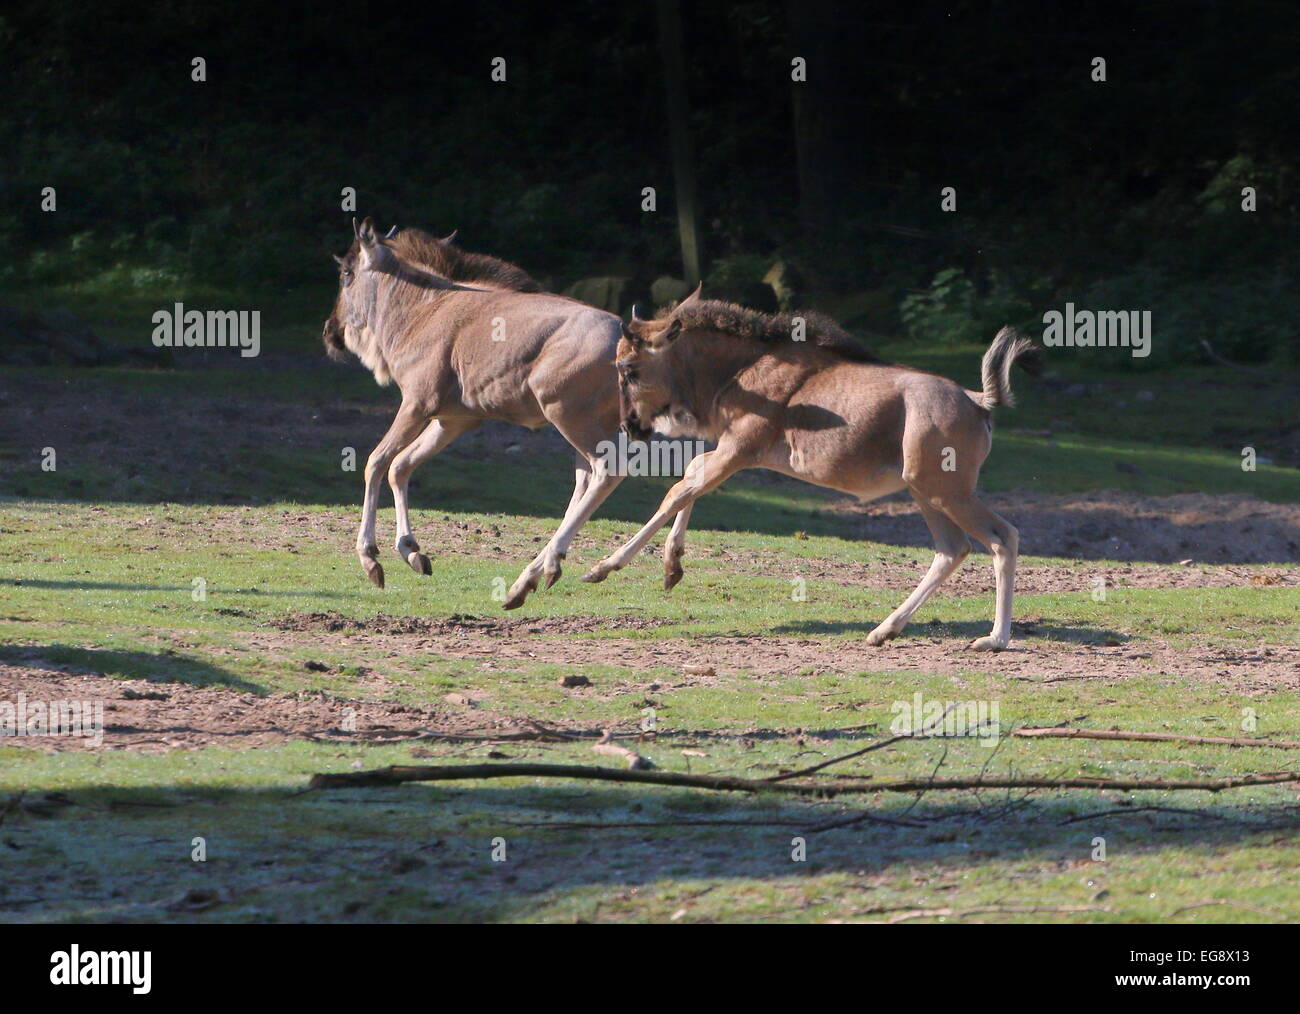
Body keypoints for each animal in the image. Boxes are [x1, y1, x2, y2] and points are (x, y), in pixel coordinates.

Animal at [582, 292, 1038, 650]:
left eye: (628, 369)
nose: (631, 427)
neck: (743, 369)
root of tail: (978, 401)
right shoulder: (730, 450)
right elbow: (690, 481)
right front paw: (672, 568)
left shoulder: (737, 450)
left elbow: (678, 491)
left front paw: (603, 567)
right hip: (925, 492)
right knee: (952, 549)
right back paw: (885, 630)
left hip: (947, 492)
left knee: (1002, 537)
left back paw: (995, 639)